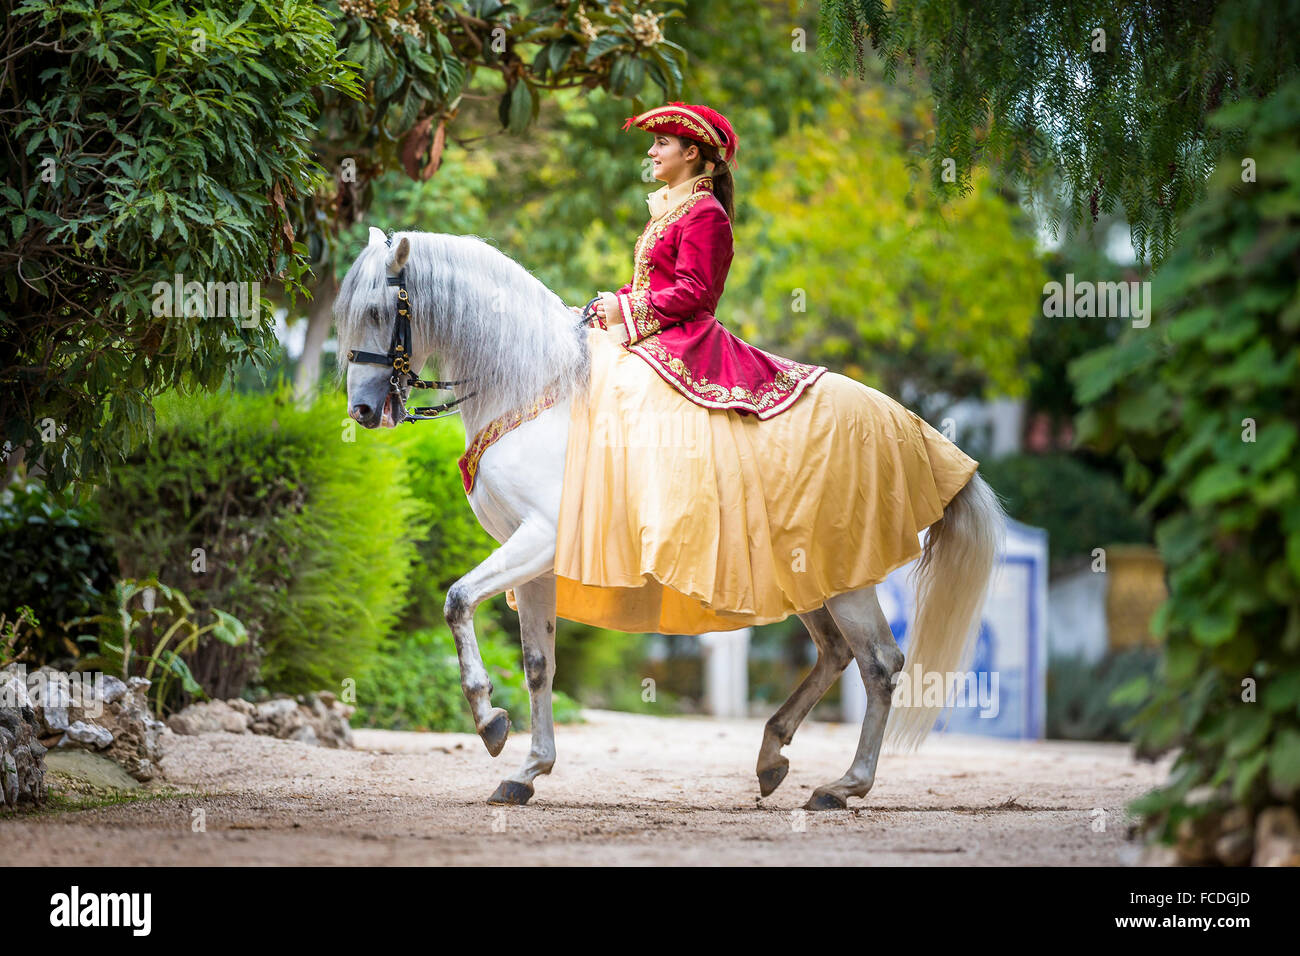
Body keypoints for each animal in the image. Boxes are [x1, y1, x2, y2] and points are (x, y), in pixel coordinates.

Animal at [337, 226, 1005, 809]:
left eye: (376, 310)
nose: (363, 411)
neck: (536, 386)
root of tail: (914, 430)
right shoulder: (536, 563)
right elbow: (538, 664)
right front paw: (527, 771)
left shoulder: (540, 541)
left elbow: (456, 600)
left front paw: (487, 720)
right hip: (812, 576)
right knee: (837, 654)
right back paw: (772, 756)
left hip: (846, 576)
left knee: (879, 665)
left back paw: (843, 786)